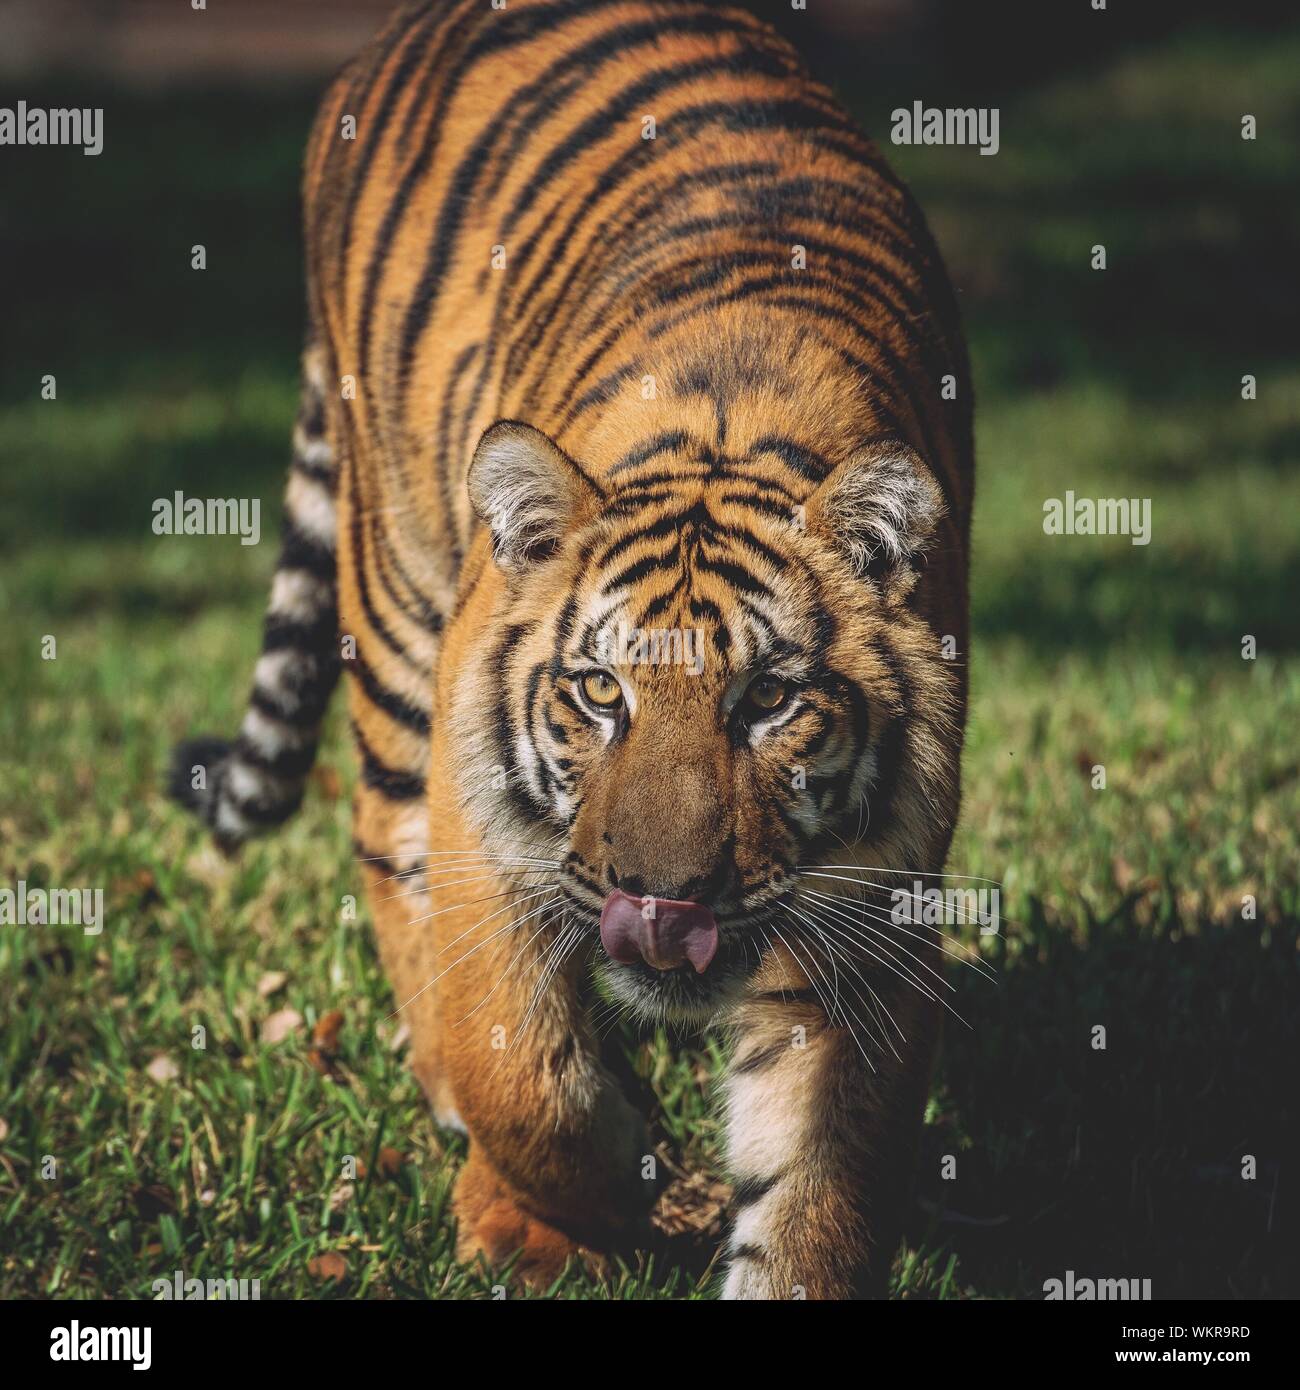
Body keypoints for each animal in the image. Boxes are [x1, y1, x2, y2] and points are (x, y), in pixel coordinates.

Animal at [170, 0, 973, 1299]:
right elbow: (522, 1075)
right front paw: (580, 1201)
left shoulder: (863, 906)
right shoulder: (484, 827)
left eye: (768, 699)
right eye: (598, 692)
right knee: (390, 863)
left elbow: (817, 1190)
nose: (662, 897)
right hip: (393, 607)